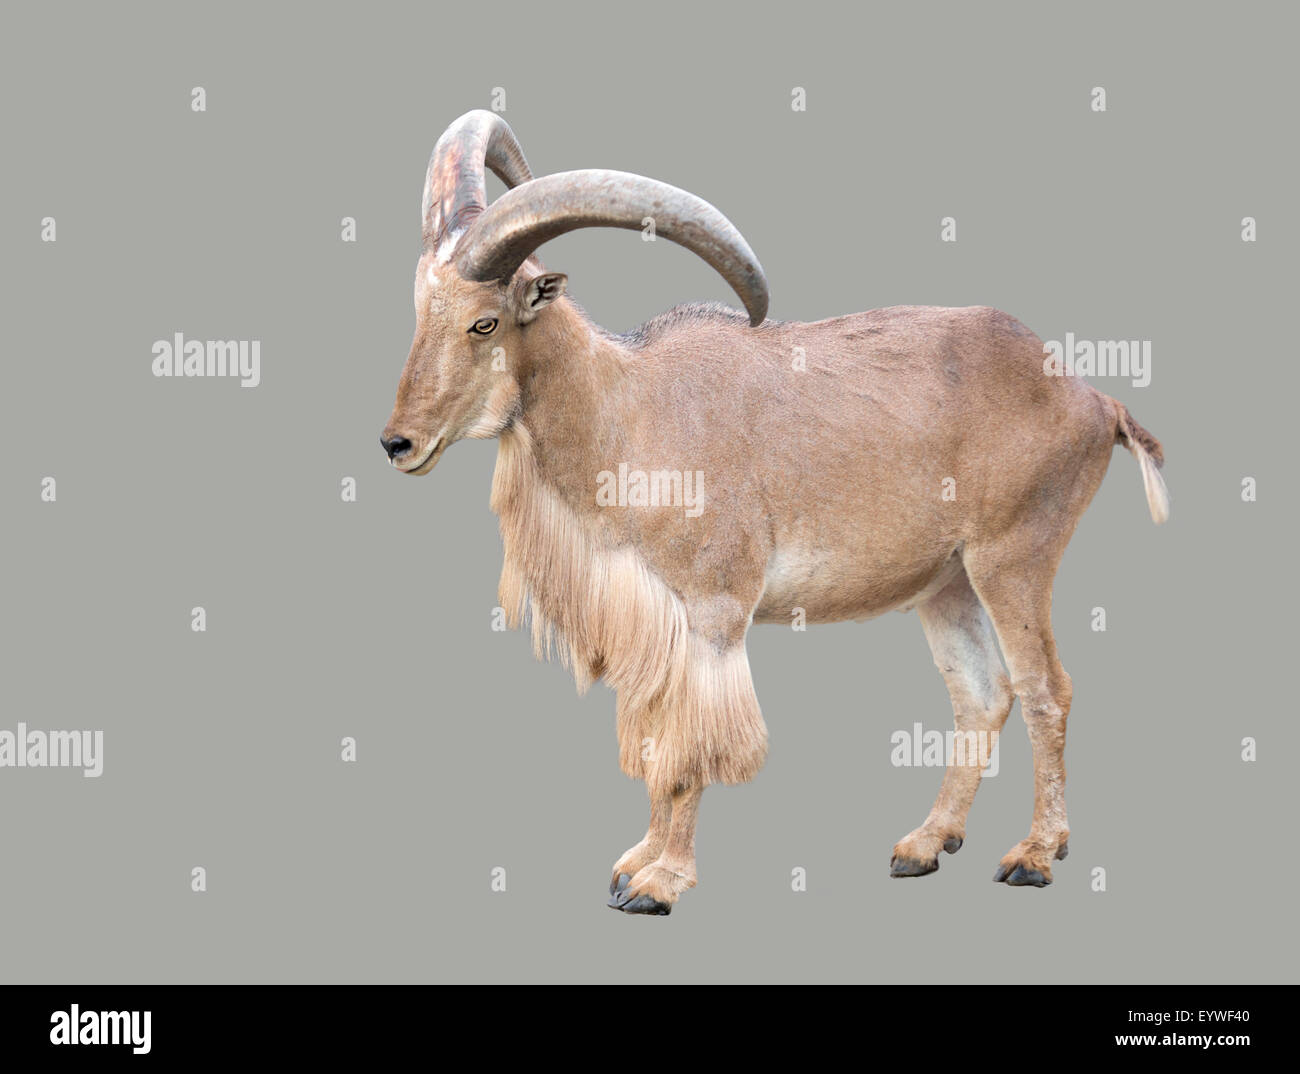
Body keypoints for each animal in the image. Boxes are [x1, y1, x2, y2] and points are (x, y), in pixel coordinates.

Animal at [381, 110, 1169, 915]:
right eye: (419, 311)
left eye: (484, 323)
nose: (397, 442)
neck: (624, 411)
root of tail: (1091, 398)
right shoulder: (653, 622)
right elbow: (659, 735)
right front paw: (636, 864)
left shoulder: (715, 608)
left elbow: (694, 742)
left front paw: (660, 884)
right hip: (948, 583)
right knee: (981, 696)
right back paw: (924, 845)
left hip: (1013, 558)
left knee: (1047, 690)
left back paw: (1035, 855)